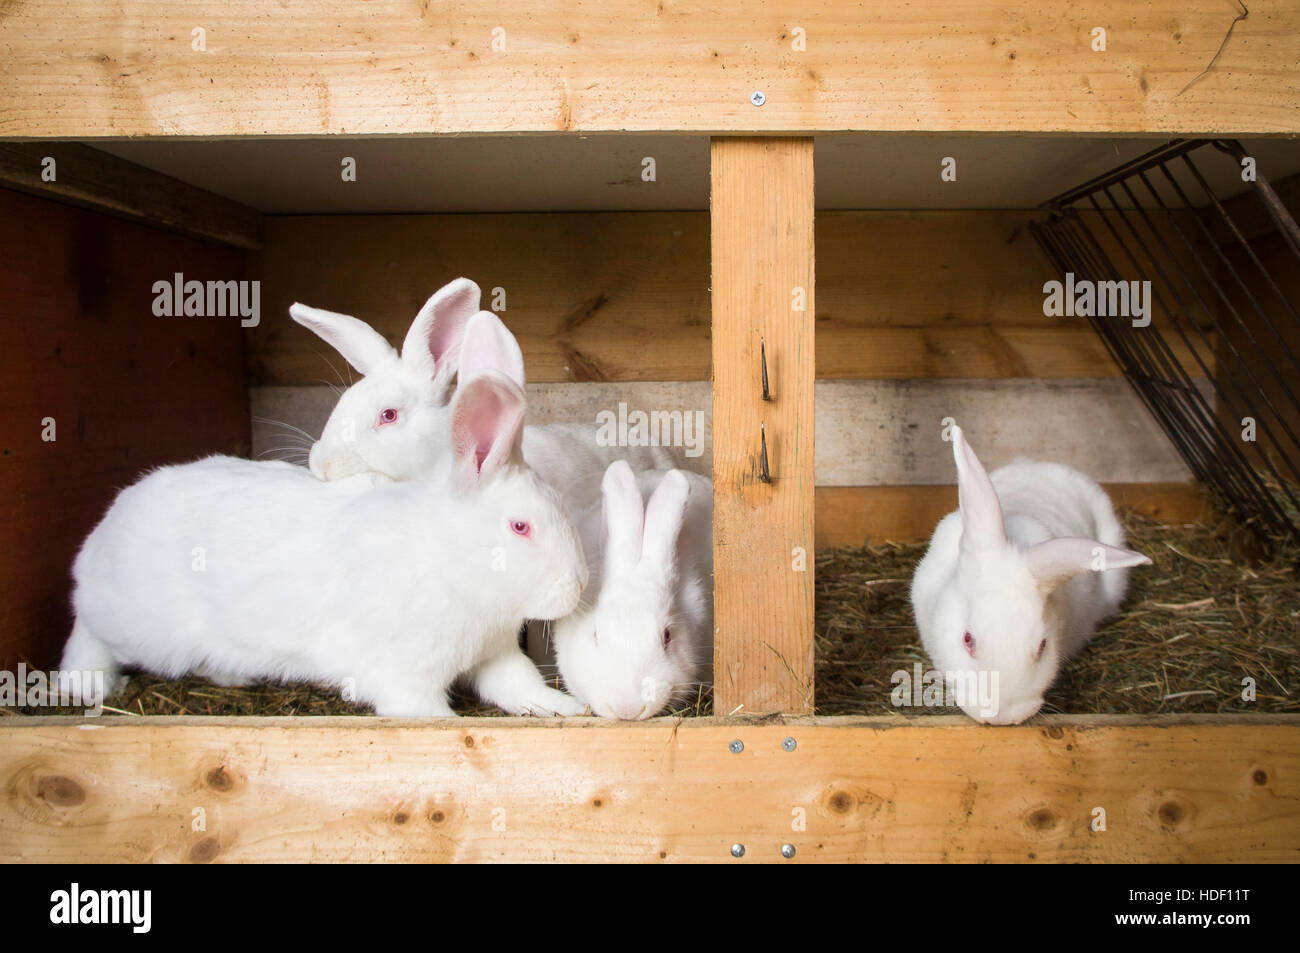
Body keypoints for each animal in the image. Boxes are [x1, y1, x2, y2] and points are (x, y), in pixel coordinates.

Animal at [60, 310, 589, 718]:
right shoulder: (405, 677)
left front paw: (566, 708)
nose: (580, 584)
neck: (448, 561)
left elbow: (518, 686)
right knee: (87, 628)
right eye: (520, 526)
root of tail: (104, 528)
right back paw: (87, 682)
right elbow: (426, 713)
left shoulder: (495, 653)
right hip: (131, 622)